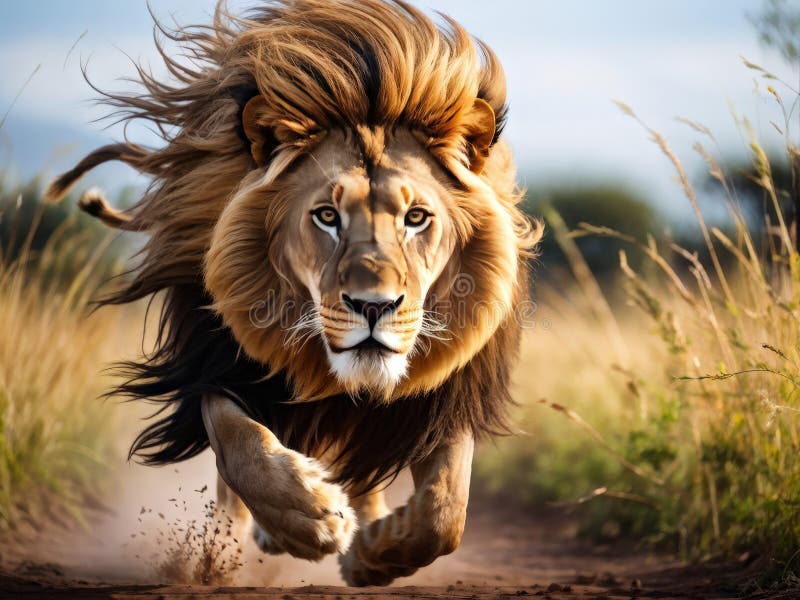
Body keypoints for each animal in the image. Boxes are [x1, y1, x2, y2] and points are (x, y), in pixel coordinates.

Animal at [46, 0, 541, 586]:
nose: (374, 307)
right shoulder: (218, 364)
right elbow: (241, 447)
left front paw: (377, 555)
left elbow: (446, 511)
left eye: (417, 217)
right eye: (326, 216)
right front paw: (305, 519)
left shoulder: (444, 395)